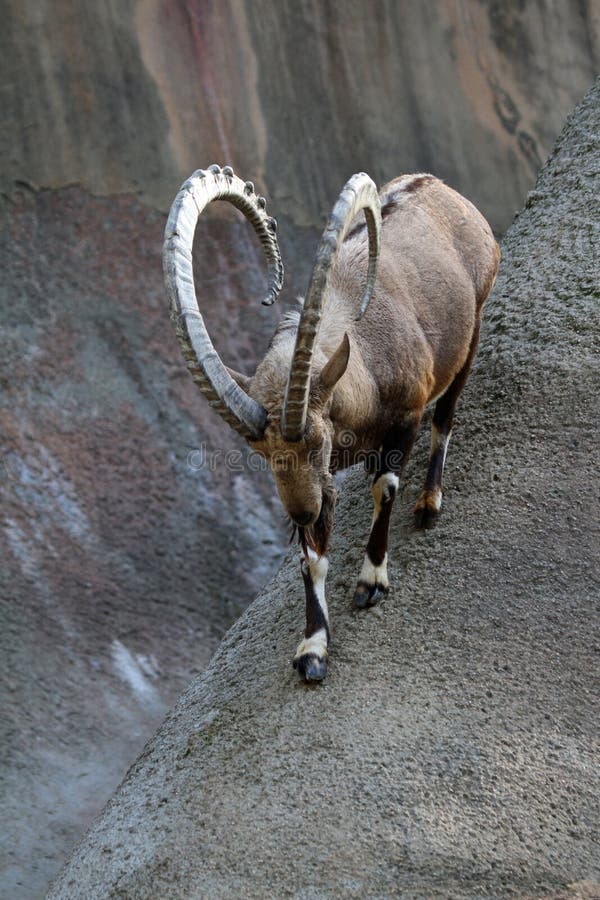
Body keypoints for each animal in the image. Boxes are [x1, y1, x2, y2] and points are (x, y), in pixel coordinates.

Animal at [163, 164, 500, 682]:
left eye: (315, 439)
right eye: (260, 454)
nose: (300, 513)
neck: (361, 375)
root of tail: (442, 188)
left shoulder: (404, 418)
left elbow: (385, 486)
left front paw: (372, 581)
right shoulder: (316, 486)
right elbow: (312, 557)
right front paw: (313, 649)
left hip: (473, 325)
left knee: (445, 417)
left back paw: (429, 502)